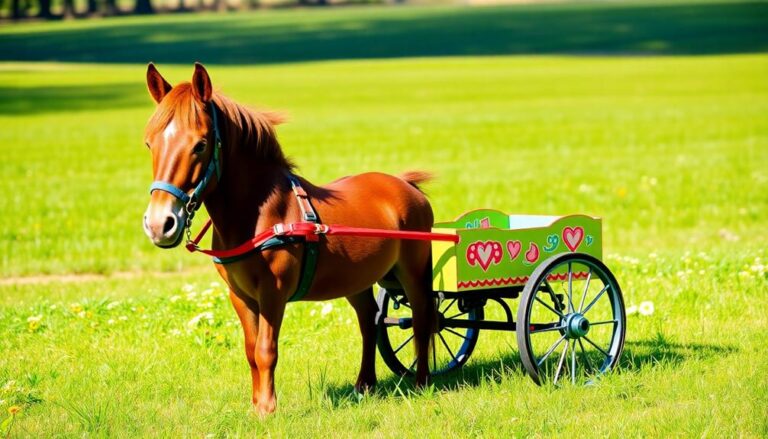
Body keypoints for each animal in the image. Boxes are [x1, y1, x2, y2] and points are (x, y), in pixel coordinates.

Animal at [141, 62, 437, 414]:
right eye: (149, 143)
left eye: (200, 145)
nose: (160, 224)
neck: (263, 215)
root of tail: (406, 185)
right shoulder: (239, 295)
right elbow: (251, 350)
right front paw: (256, 404)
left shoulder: (274, 293)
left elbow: (266, 350)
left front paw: (268, 409)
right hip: (358, 280)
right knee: (370, 320)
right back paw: (364, 384)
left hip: (413, 271)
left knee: (422, 318)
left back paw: (421, 383)